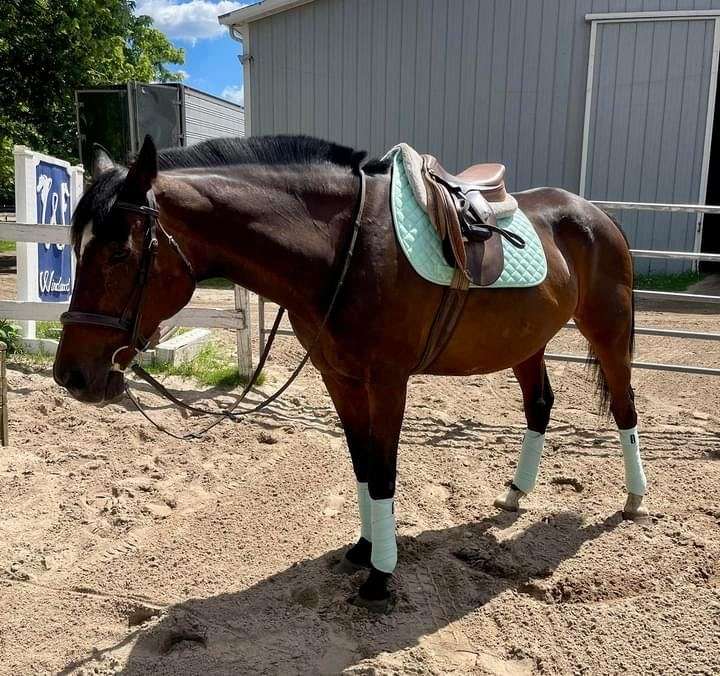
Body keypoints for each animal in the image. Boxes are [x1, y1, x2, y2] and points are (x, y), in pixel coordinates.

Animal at [53, 134, 647, 612]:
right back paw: (516, 494)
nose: (72, 376)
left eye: (120, 251)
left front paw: (381, 578)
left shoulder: (387, 382)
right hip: (526, 342)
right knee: (539, 407)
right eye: (75, 247)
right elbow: (361, 466)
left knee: (624, 407)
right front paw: (364, 550)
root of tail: (595, 214)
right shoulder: (339, 378)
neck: (345, 247)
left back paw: (635, 500)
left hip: (609, 331)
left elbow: (383, 473)